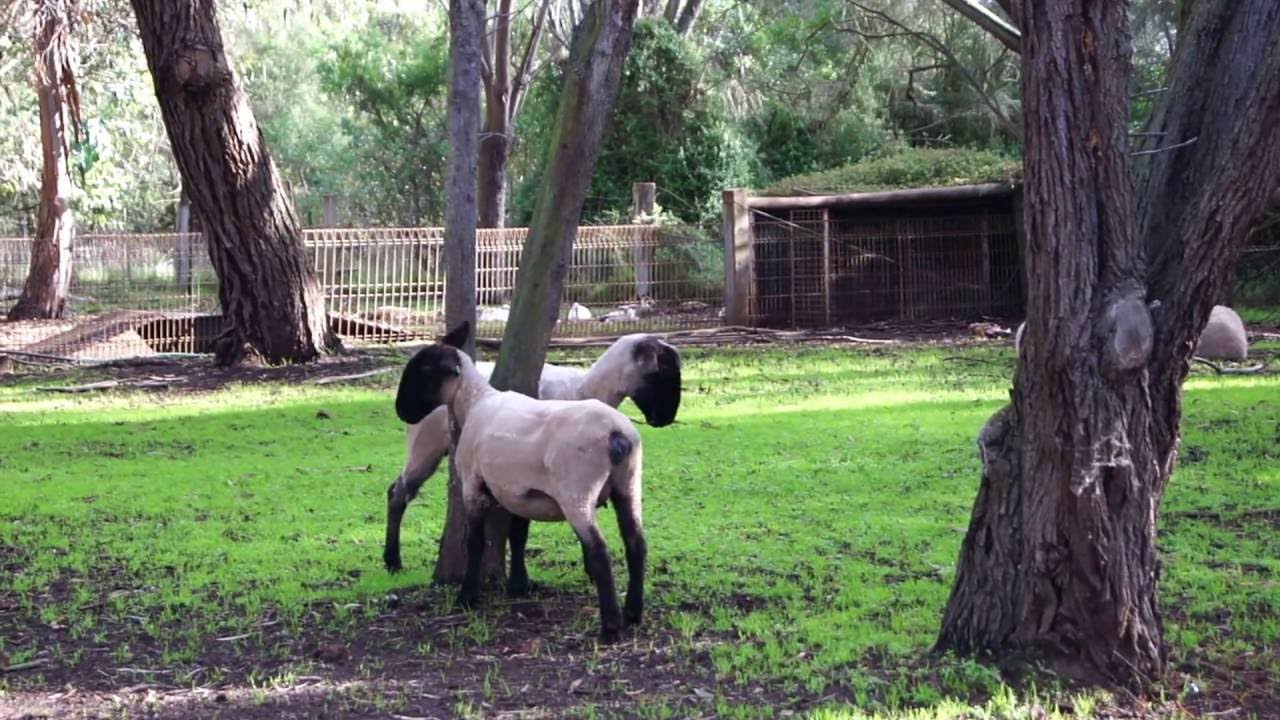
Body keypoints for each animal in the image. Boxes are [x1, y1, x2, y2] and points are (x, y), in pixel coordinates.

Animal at [384, 333, 681, 573]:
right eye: (662, 370)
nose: (665, 419)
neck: (583, 388)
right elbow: (519, 531)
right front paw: (520, 579)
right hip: (425, 445)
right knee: (398, 493)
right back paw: (392, 561)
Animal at [394, 321, 646, 642]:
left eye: (423, 370)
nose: (401, 411)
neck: (474, 402)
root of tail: (617, 435)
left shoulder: (473, 485)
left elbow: (475, 541)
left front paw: (467, 597)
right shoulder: (519, 494)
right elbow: (518, 535)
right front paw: (518, 585)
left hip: (577, 492)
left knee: (600, 551)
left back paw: (611, 627)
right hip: (629, 484)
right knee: (636, 543)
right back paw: (633, 613)